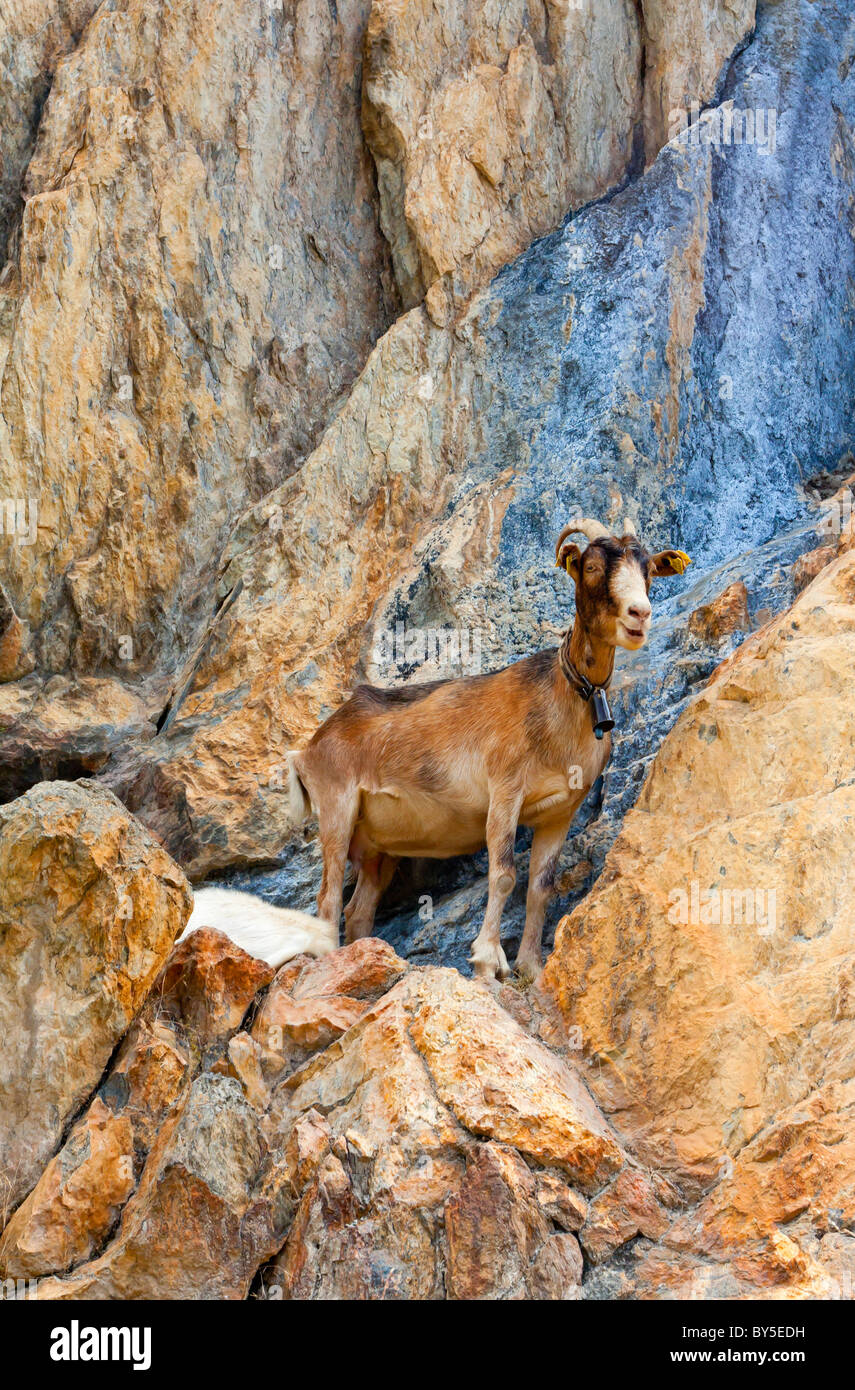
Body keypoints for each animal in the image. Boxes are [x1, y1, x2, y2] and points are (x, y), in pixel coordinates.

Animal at [286, 519, 690, 980]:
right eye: (589, 566)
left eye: (649, 569)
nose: (639, 614)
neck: (559, 701)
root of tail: (308, 750)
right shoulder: (504, 793)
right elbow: (504, 875)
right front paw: (487, 960)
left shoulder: (560, 812)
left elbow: (540, 886)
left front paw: (531, 967)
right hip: (336, 808)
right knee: (328, 897)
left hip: (376, 849)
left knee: (358, 909)